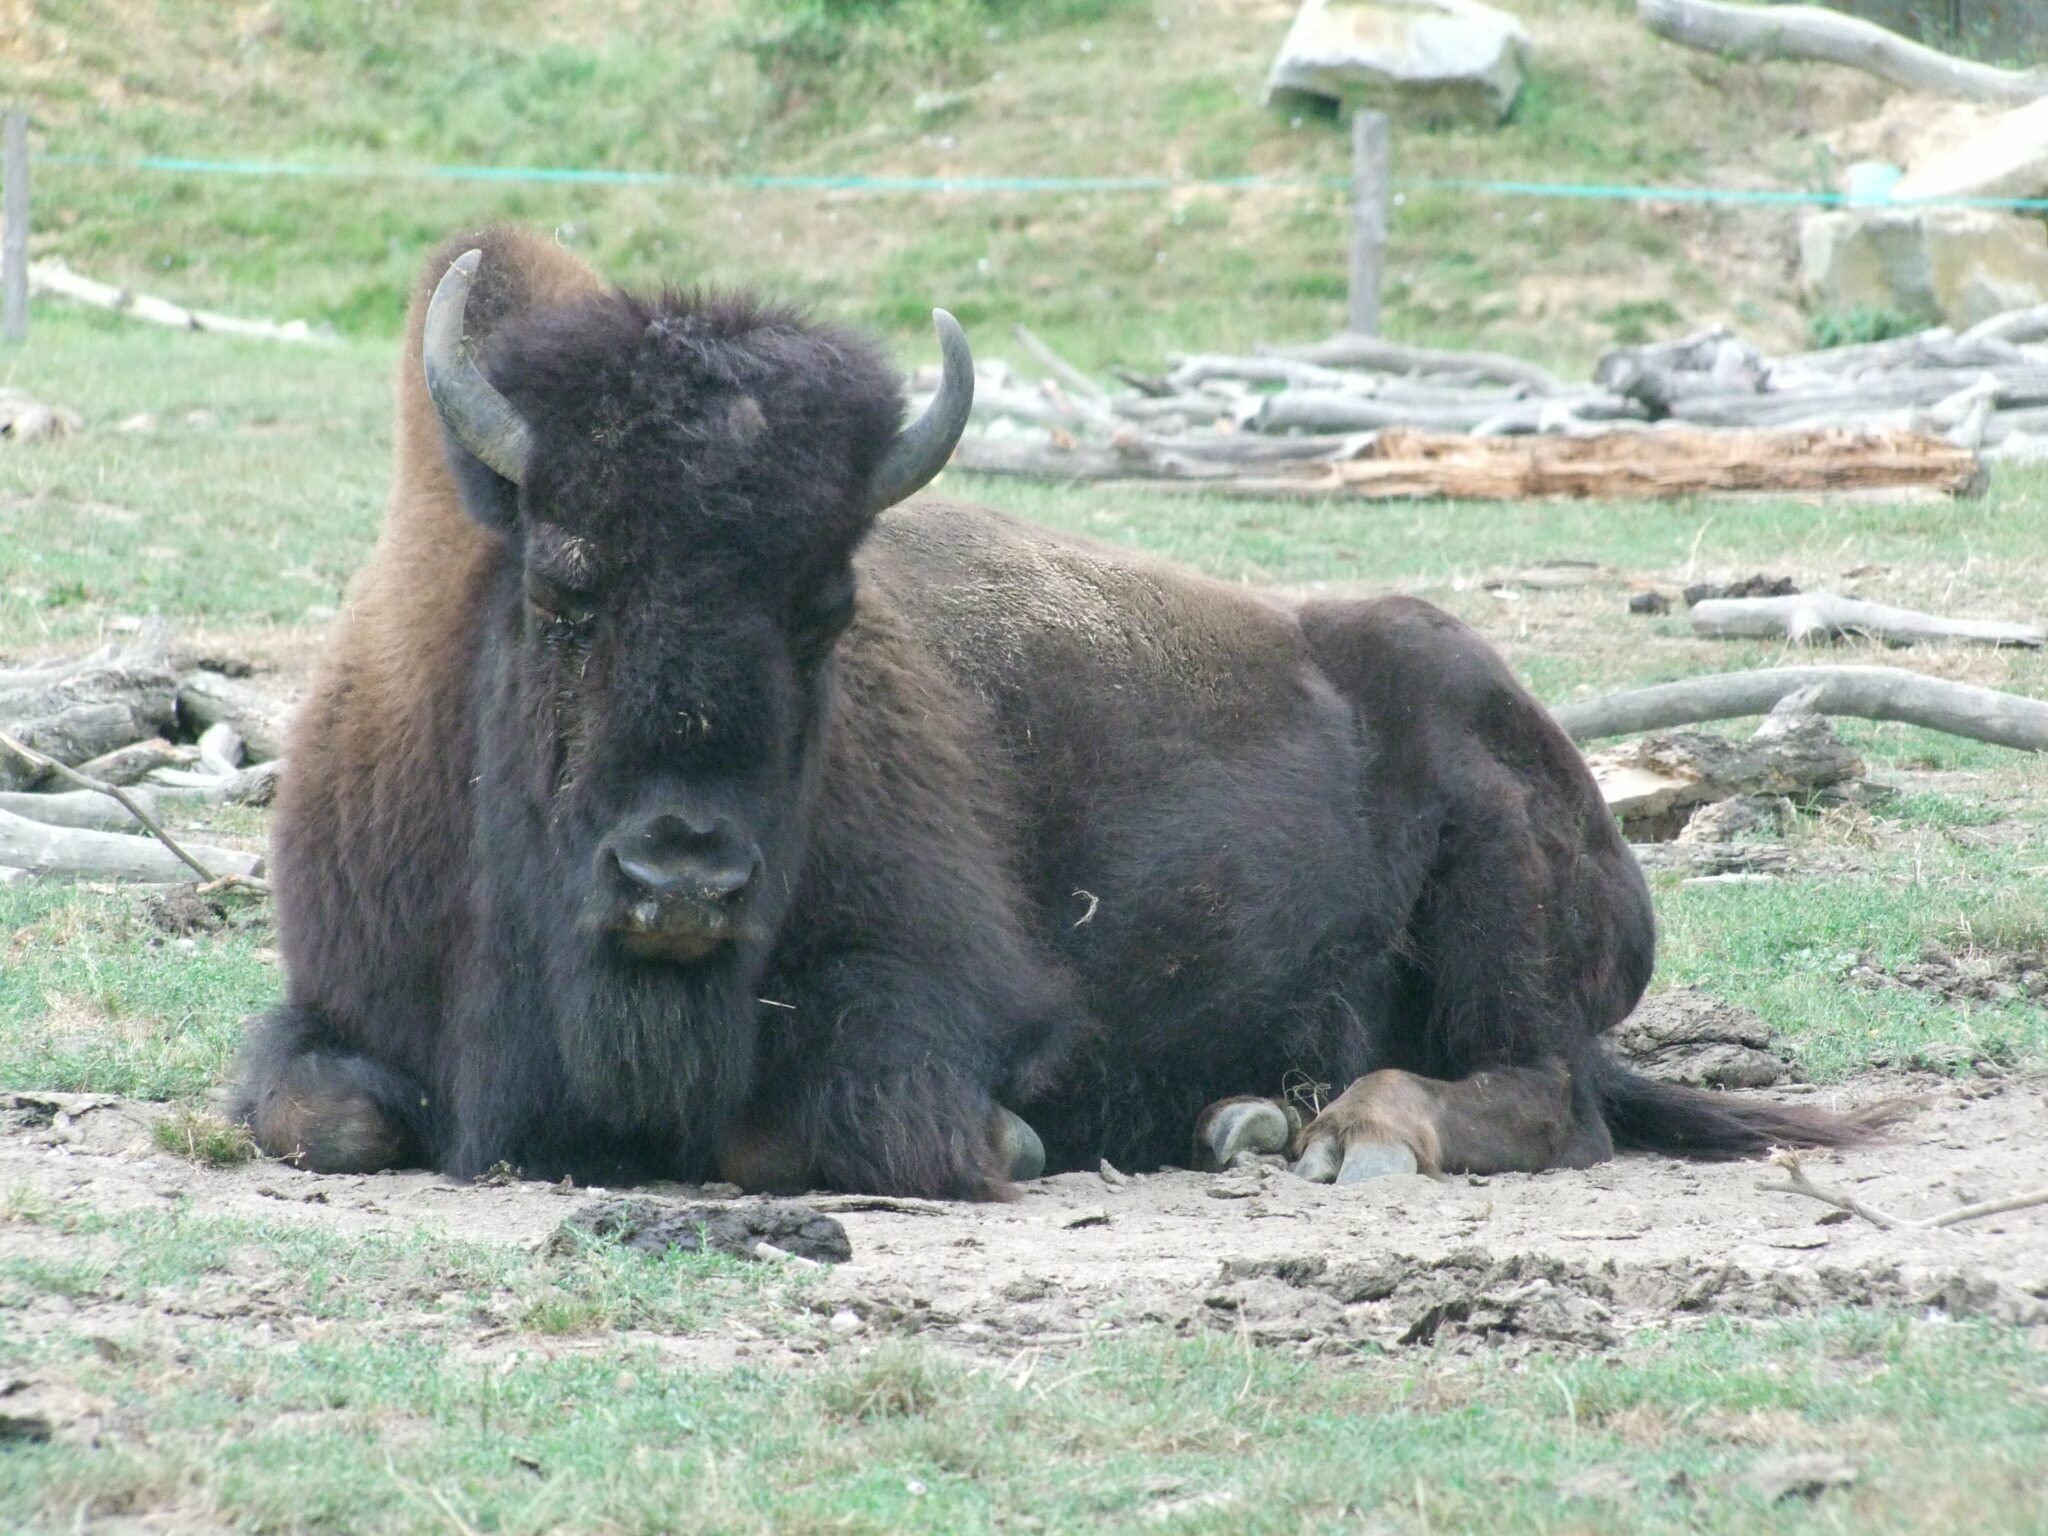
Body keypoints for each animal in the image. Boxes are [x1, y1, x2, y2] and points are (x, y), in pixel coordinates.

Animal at [233, 227, 1881, 1198]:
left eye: (826, 605)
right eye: (567, 584)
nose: (681, 879)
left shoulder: (952, 1004)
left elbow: (838, 1127)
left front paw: (1029, 1136)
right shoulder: (341, 1003)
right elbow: (320, 1113)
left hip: (1505, 913)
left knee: (1548, 1095)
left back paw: (1349, 1132)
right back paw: (1250, 1120)